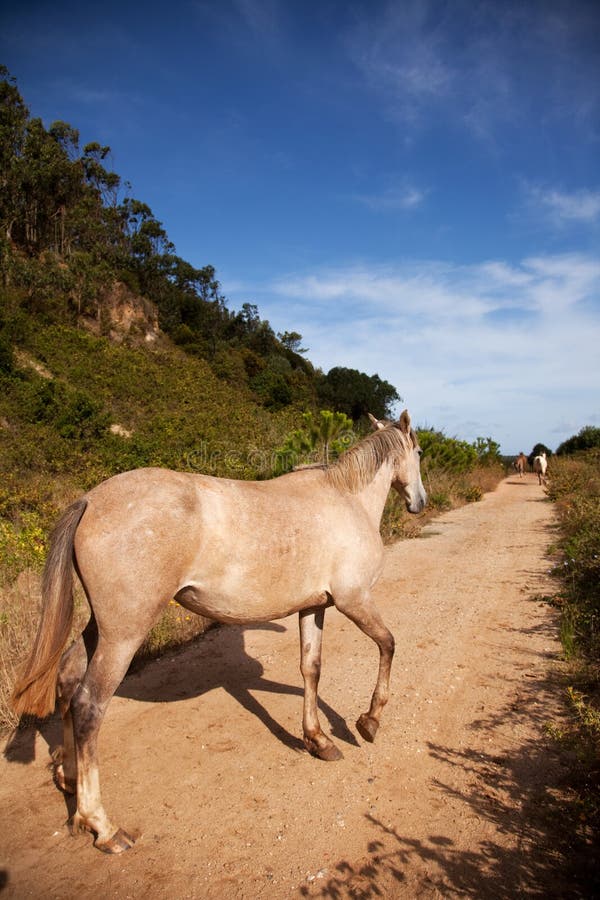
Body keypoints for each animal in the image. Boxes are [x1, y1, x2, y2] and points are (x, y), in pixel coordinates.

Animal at [12, 410, 426, 854]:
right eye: (419, 451)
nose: (420, 503)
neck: (347, 500)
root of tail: (90, 501)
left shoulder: (313, 607)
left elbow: (310, 670)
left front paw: (318, 740)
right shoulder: (355, 601)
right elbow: (388, 645)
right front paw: (368, 722)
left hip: (101, 629)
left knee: (68, 678)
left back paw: (70, 779)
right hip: (123, 634)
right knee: (89, 706)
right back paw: (103, 826)